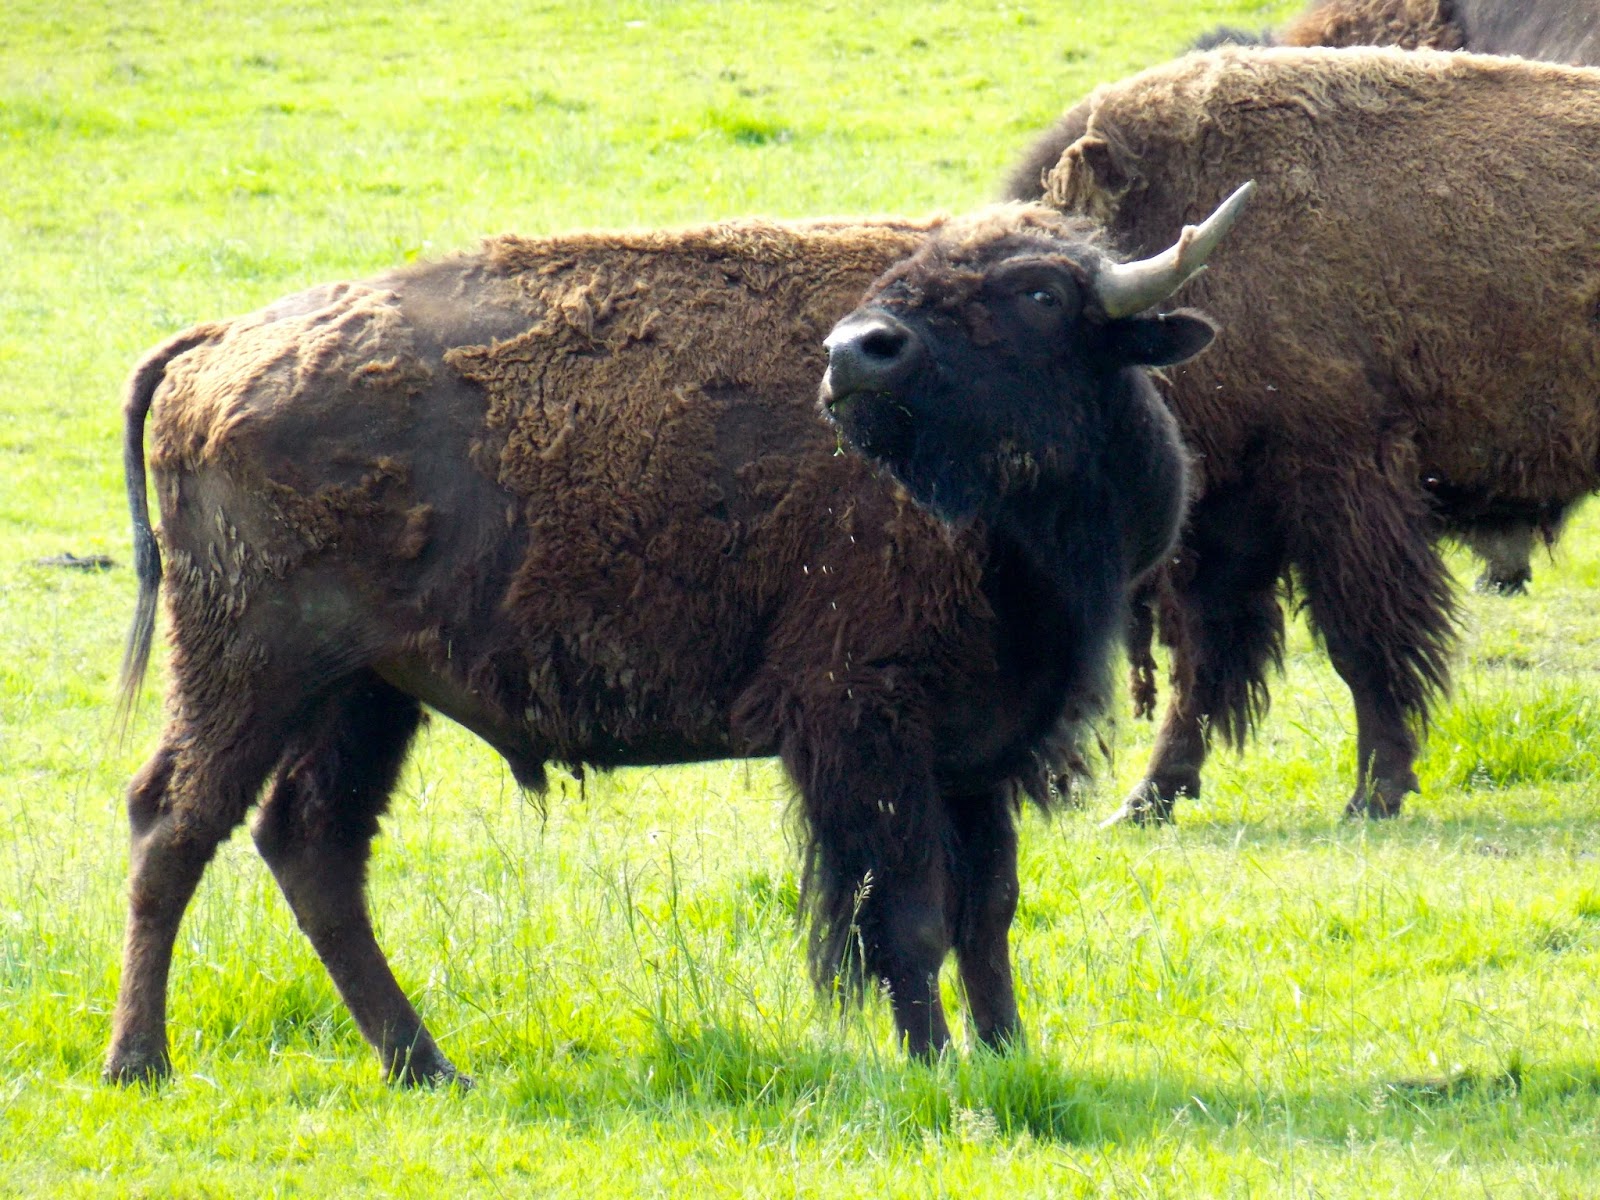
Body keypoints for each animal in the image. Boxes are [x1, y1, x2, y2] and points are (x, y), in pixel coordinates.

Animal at [103, 198, 1243, 1083]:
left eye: (1044, 294)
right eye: (902, 281)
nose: (857, 354)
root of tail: (217, 344)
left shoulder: (979, 750)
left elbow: (988, 913)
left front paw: (1010, 1058)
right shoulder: (870, 733)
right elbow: (910, 919)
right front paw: (935, 1070)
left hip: (365, 695)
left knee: (311, 846)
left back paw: (426, 1067)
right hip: (251, 670)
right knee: (176, 823)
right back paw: (141, 1064)